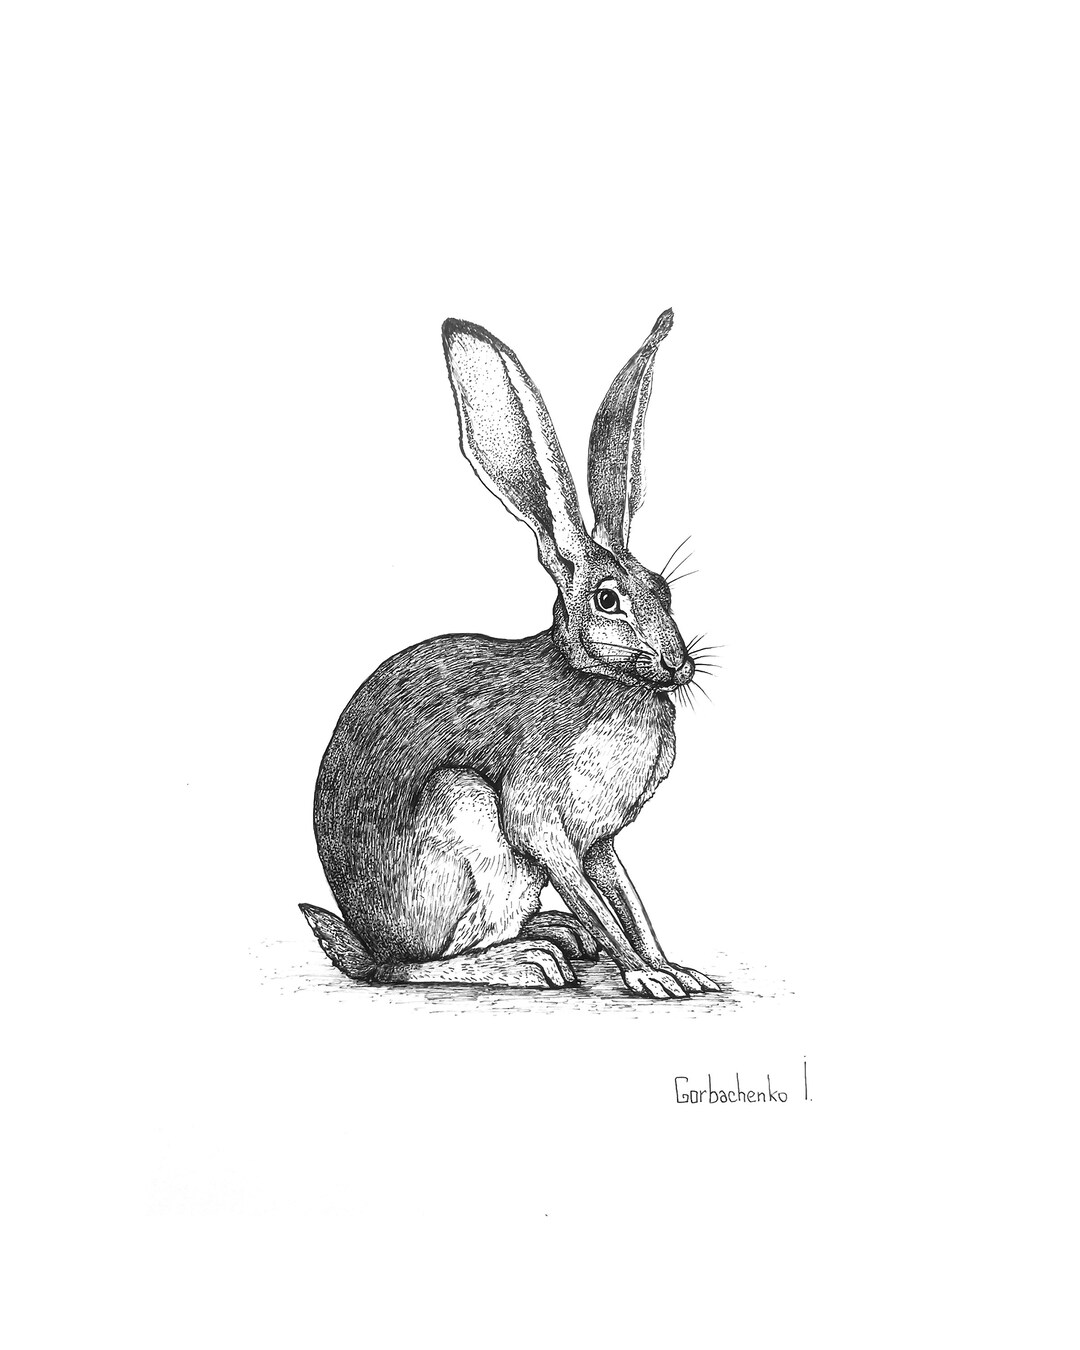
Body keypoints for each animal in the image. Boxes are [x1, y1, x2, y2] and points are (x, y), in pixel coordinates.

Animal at [303, 309, 721, 998]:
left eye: (663, 589)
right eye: (608, 600)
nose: (678, 666)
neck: (600, 680)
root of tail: (362, 939)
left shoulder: (598, 842)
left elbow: (628, 904)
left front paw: (675, 969)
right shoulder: (539, 825)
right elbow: (602, 906)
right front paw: (648, 978)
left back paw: (556, 936)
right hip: (466, 827)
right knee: (414, 966)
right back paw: (529, 960)